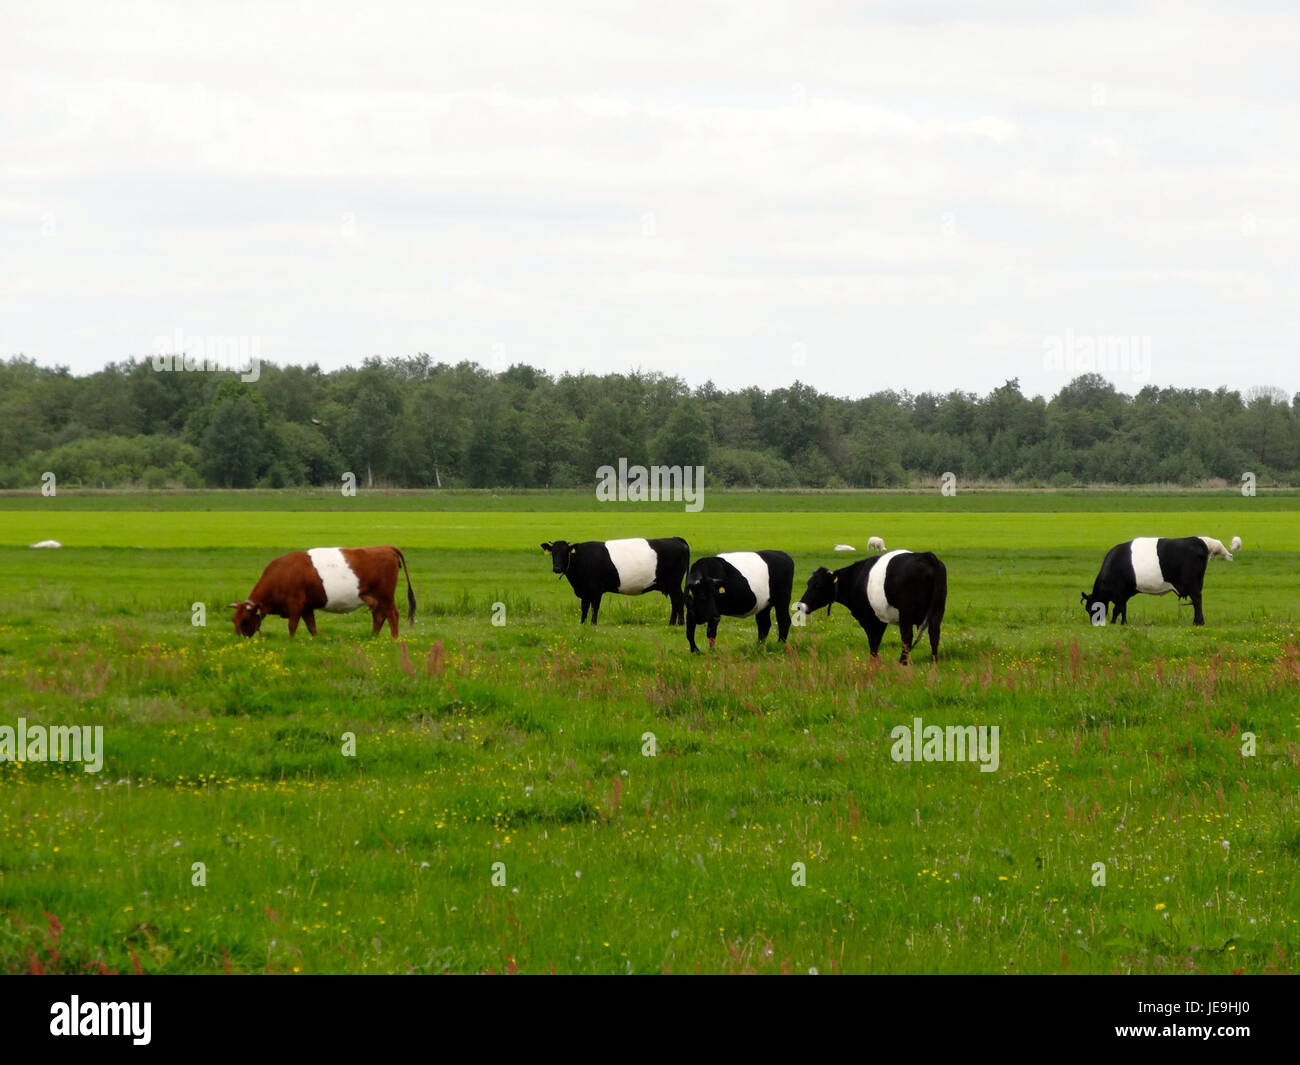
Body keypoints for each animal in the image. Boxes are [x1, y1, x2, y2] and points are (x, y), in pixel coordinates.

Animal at [230, 546, 416, 637]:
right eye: (234, 620)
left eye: (245, 620)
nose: (240, 640)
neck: (281, 574)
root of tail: (385, 547)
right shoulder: (306, 607)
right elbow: (312, 626)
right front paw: (316, 640)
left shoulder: (295, 604)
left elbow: (292, 625)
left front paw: (291, 641)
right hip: (373, 598)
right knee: (379, 616)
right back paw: (373, 637)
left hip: (386, 596)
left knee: (392, 615)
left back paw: (394, 639)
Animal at [542, 537, 689, 625]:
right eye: (553, 553)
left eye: (566, 552)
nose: (557, 568)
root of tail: (675, 539)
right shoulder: (585, 591)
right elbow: (584, 607)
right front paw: (582, 624)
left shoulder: (596, 589)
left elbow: (594, 607)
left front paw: (593, 624)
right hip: (670, 585)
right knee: (675, 601)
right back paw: (673, 623)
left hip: (674, 582)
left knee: (678, 600)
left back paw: (679, 624)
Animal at [794, 549, 947, 664]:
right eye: (808, 583)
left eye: (818, 585)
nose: (801, 605)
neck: (856, 579)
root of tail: (927, 556)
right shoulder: (880, 619)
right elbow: (876, 641)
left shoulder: (869, 618)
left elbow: (873, 641)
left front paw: (872, 663)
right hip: (937, 611)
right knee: (934, 634)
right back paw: (934, 663)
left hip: (906, 614)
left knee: (907, 637)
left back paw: (902, 663)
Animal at [1081, 536, 1211, 626]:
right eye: (1087, 609)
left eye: (1091, 608)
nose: (1094, 624)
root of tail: (1195, 539)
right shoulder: (1125, 593)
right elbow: (1123, 609)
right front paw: (1123, 622)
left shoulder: (1120, 593)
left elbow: (1117, 609)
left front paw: (1115, 623)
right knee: (1196, 601)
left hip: (1192, 585)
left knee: (1197, 600)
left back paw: (1198, 623)